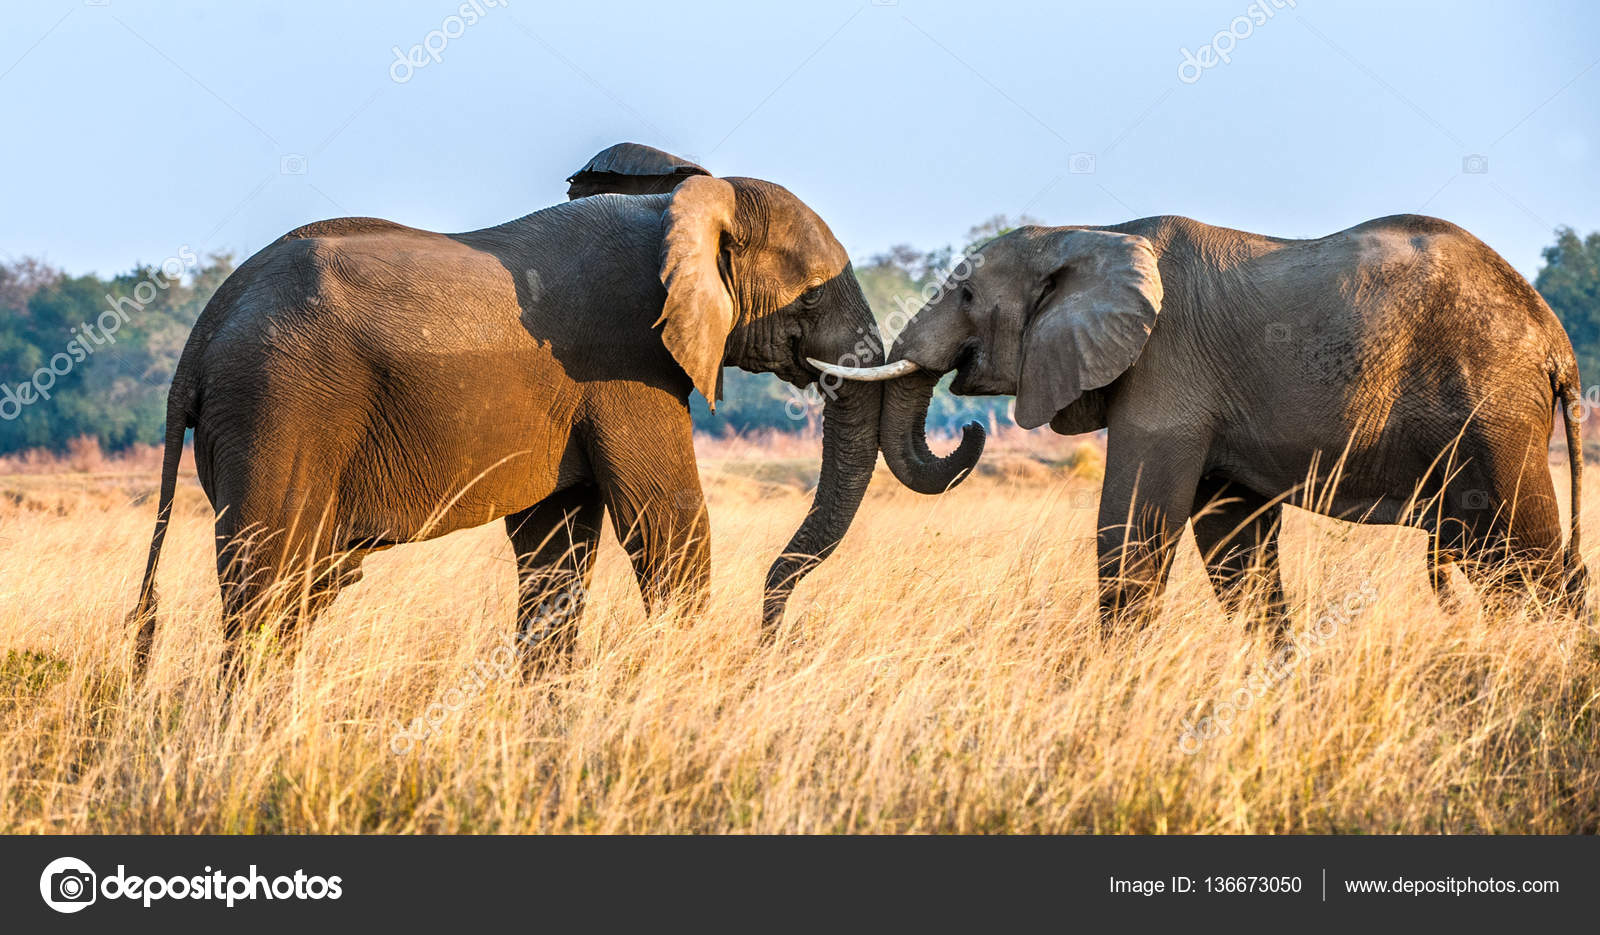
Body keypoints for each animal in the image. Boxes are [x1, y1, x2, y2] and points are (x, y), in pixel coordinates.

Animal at [128, 160, 884, 675]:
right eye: (809, 302)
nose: (773, 640)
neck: (683, 202)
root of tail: (200, 336)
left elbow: (556, 551)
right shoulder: (626, 360)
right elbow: (668, 518)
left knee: (305, 587)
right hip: (277, 407)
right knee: (268, 585)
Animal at [815, 214, 1587, 633]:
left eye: (969, 295)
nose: (972, 432)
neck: (1091, 231)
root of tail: (1557, 340)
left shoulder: (1168, 370)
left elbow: (1133, 530)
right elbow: (1235, 547)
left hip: (1493, 410)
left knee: (1523, 555)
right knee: (1510, 559)